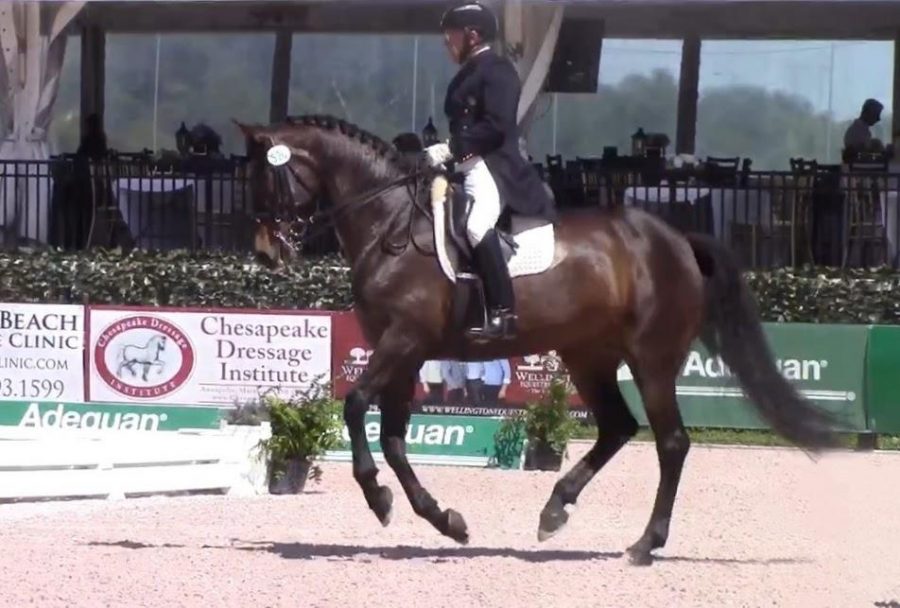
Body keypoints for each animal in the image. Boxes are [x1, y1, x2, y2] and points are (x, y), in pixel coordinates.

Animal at [234, 114, 840, 566]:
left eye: (265, 178)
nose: (266, 252)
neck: (391, 223)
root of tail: (676, 238)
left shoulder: (404, 340)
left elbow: (357, 406)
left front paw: (379, 498)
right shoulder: (402, 350)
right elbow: (394, 438)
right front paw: (444, 520)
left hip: (652, 361)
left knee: (671, 443)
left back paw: (644, 544)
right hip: (588, 355)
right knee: (617, 428)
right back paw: (554, 511)